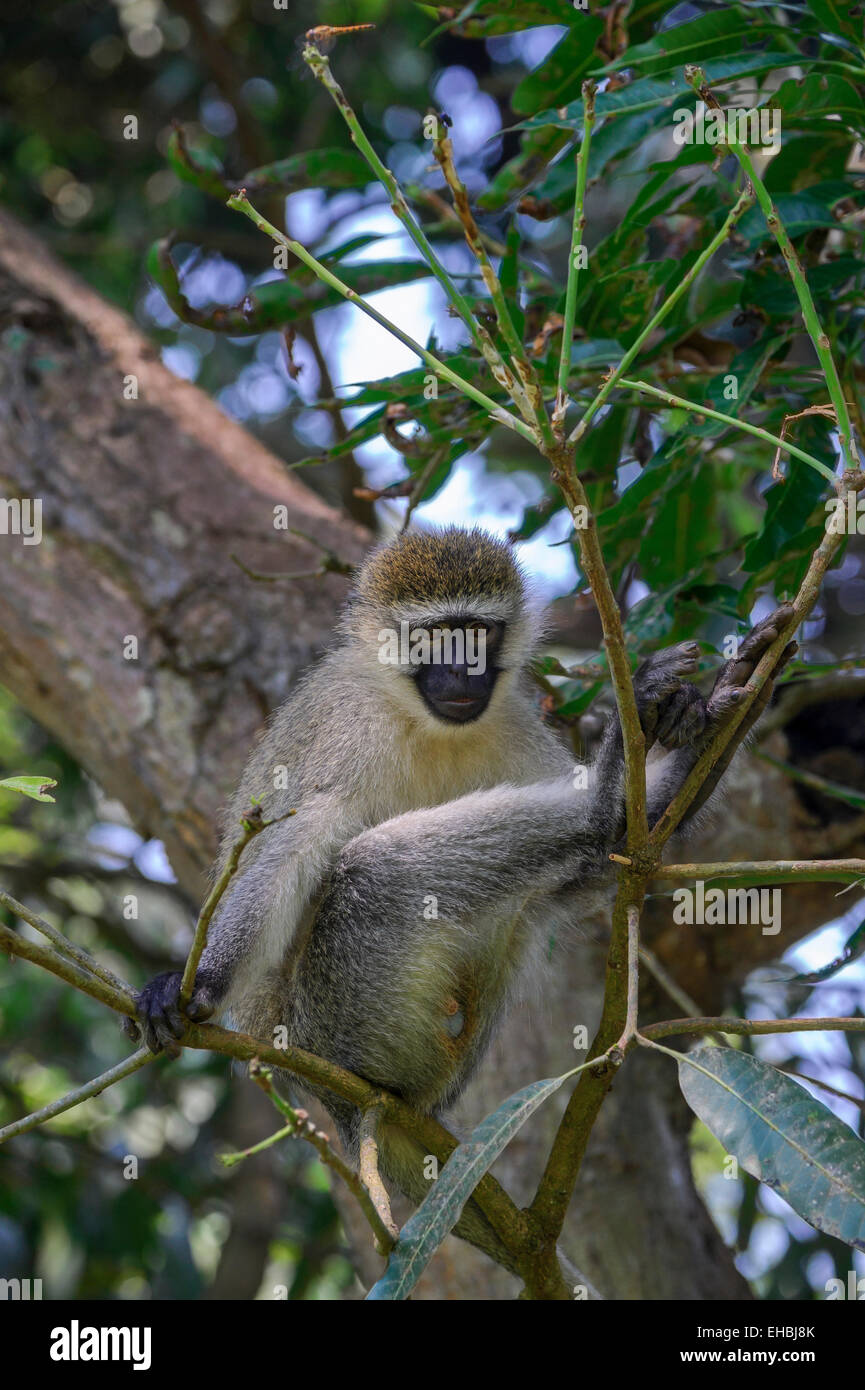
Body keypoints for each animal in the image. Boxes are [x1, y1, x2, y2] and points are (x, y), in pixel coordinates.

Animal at [127, 526, 796, 1276]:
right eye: (433, 639)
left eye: (478, 635)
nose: (461, 675)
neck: (422, 721)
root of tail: (337, 1102)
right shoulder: (341, 719)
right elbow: (290, 839)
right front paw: (197, 984)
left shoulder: (514, 722)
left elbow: (605, 867)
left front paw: (706, 707)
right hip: (328, 1024)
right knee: (375, 870)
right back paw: (608, 790)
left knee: (534, 891)